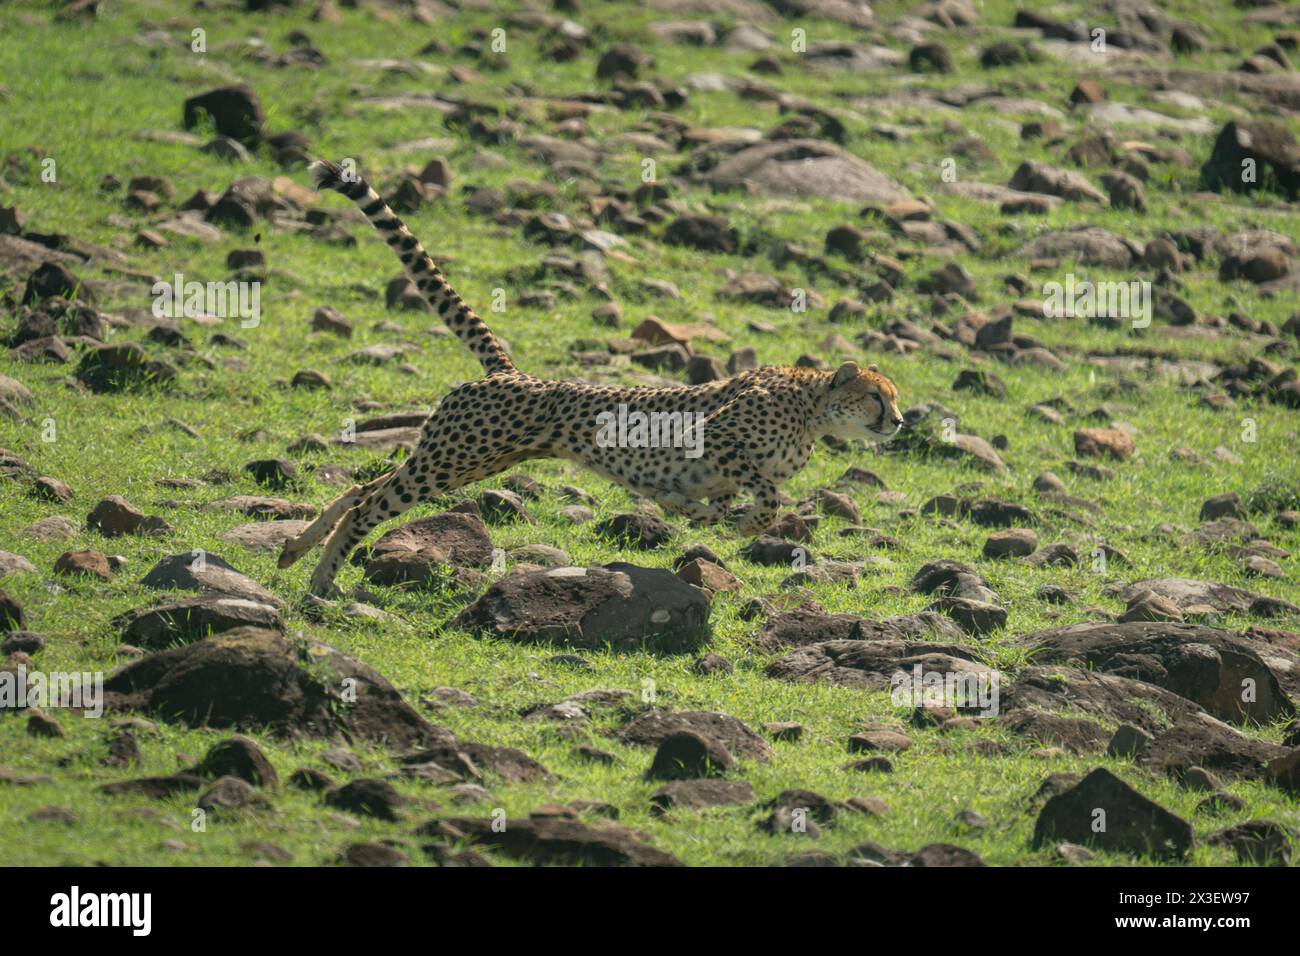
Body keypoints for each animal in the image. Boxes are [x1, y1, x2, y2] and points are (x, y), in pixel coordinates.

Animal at [279, 159, 905, 597]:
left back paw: (293, 554)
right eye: (877, 397)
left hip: (468, 459)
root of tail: (511, 371)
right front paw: (745, 522)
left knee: (363, 489)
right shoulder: (715, 438)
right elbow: (769, 497)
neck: (812, 408)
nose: (899, 422)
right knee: (367, 507)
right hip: (455, 457)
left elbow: (711, 501)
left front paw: (704, 515)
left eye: (892, 399)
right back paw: (320, 582)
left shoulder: (711, 474)